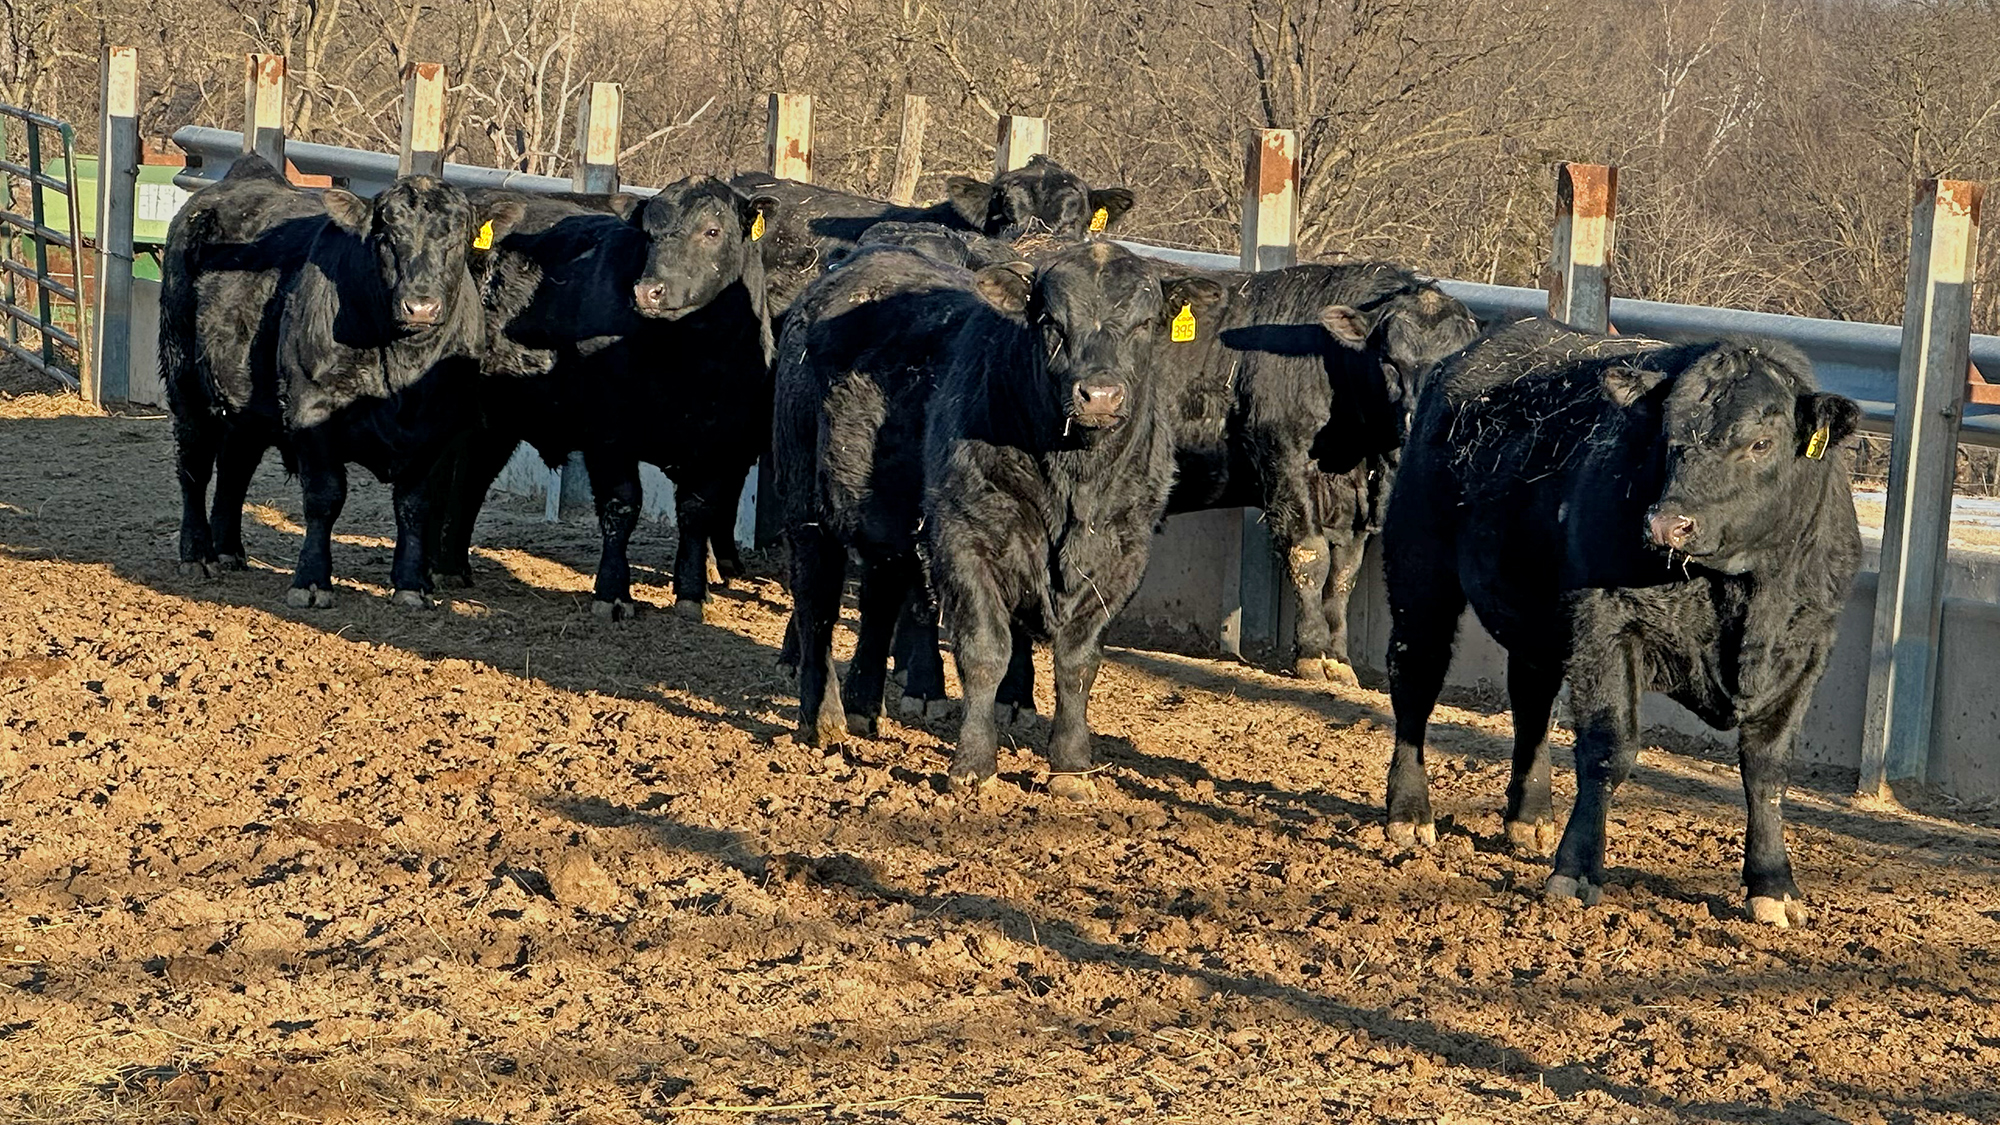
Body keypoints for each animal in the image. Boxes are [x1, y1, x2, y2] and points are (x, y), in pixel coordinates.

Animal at [275, 177, 523, 607]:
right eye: (387, 237)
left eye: (457, 237)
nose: (420, 307)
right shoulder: (310, 407)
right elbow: (324, 496)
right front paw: (310, 580)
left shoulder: (436, 426)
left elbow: (415, 504)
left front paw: (410, 583)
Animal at [423, 177, 778, 621]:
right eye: (648, 234)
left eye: (712, 231)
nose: (649, 291)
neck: (688, 362)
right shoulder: (609, 436)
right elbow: (621, 507)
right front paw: (612, 592)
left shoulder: (720, 445)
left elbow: (696, 514)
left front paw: (692, 594)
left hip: (495, 421)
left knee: (471, 479)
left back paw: (453, 567)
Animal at [925, 242, 1223, 796]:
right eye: (1051, 322)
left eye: (1144, 323)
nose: (1100, 395)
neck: (1073, 481)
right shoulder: (963, 538)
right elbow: (983, 652)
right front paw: (972, 764)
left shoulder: (1122, 557)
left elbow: (1078, 663)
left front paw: (1071, 766)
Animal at [1155, 261, 1478, 683]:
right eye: (1390, 362)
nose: (1418, 419)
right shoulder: (1287, 465)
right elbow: (1310, 555)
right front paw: (1311, 652)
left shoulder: (1355, 504)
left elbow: (1343, 574)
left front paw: (1338, 658)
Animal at [1380, 318, 1861, 926]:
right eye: (1668, 436)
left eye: (1760, 443)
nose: (1668, 523)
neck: (1741, 595)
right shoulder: (1606, 627)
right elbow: (1610, 748)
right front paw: (1576, 870)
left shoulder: (1808, 649)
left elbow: (1768, 769)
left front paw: (1774, 885)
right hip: (1419, 573)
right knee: (1415, 680)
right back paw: (1408, 813)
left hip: (1535, 623)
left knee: (1531, 702)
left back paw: (1529, 816)